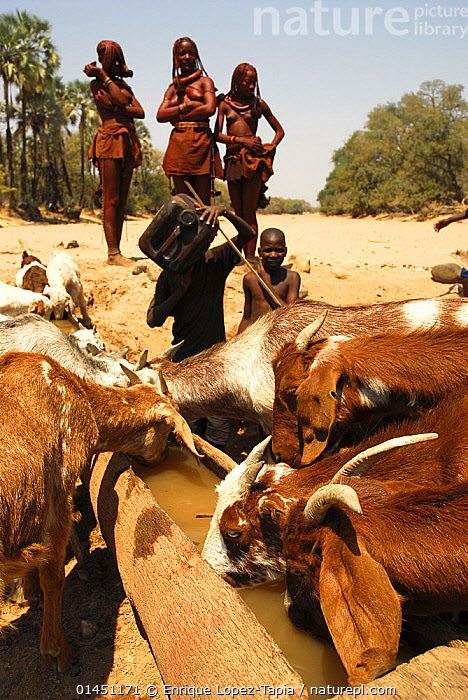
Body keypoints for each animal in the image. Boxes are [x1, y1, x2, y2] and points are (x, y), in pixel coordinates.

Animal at [0, 351, 199, 672]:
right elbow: (53, 575)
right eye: (169, 430)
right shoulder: (59, 492)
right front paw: (58, 654)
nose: (165, 456)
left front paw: (27, 594)